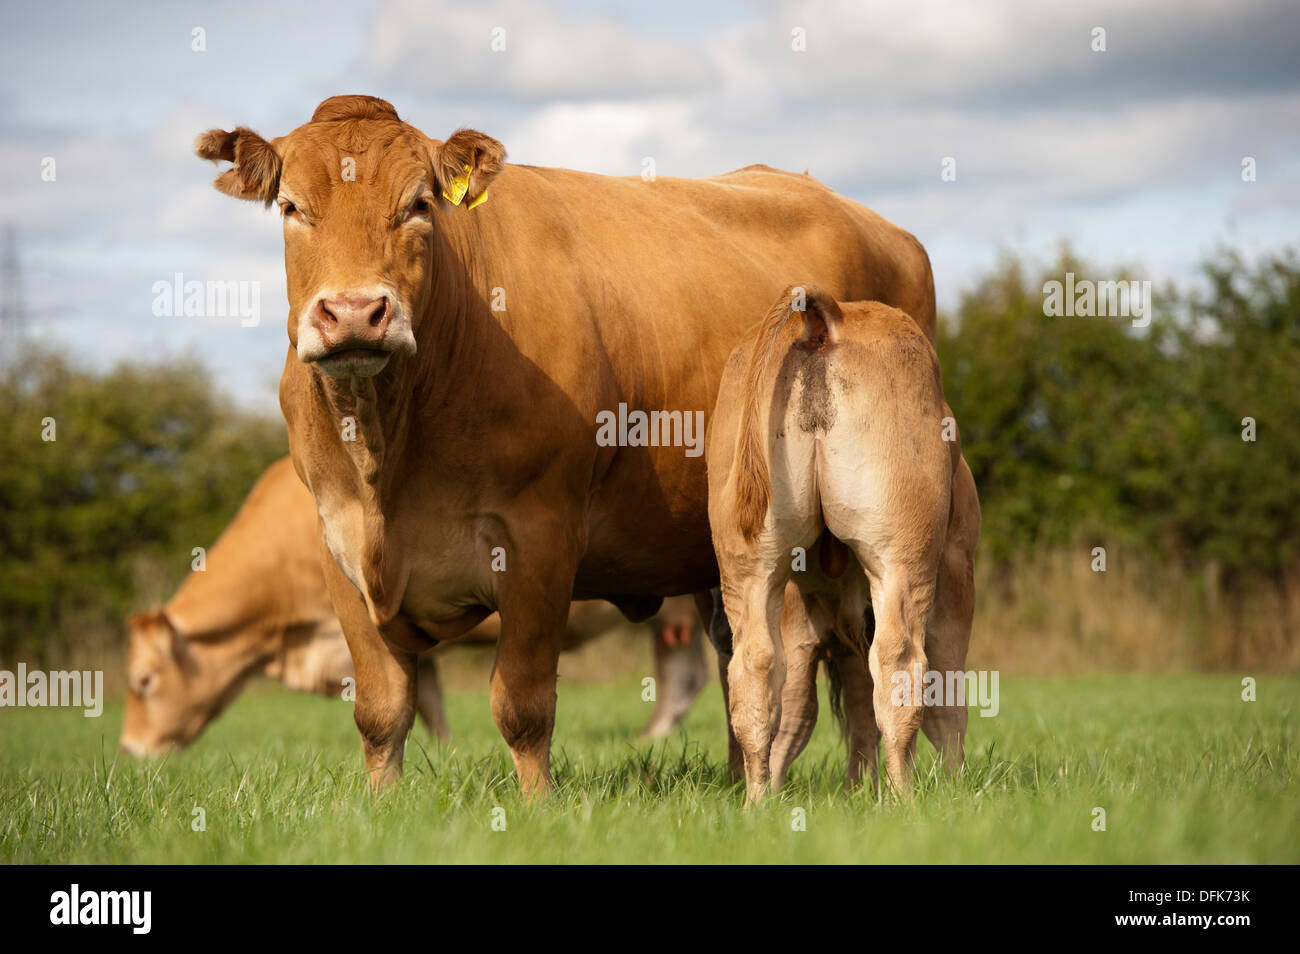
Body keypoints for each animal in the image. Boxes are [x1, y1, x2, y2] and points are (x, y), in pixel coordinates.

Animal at [195, 94, 936, 793]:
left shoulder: (540, 535)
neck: (388, 450)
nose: (353, 313)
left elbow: (522, 705)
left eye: (418, 205)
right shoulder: (340, 545)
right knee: (749, 659)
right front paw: (382, 807)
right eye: (291, 207)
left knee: (853, 663)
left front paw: (536, 807)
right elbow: (381, 710)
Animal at [707, 286, 979, 803]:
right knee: (900, 664)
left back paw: (758, 802)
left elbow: (809, 705)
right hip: (902, 555)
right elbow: (948, 700)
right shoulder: (956, 572)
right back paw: (902, 799)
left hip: (750, 563)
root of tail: (826, 318)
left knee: (756, 668)